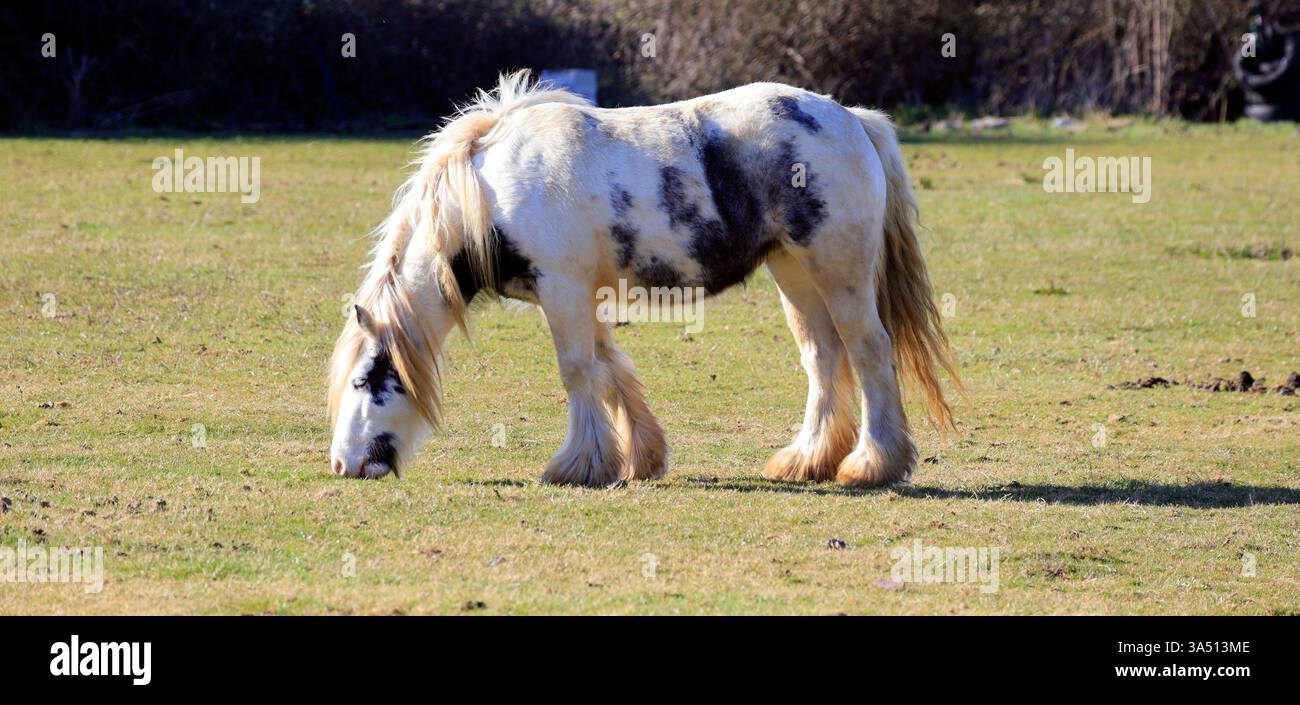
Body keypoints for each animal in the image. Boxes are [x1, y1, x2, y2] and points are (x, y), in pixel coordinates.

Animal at [328, 71, 960, 487]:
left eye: (364, 381)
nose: (341, 463)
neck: (489, 191)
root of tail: (852, 118)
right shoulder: (579, 296)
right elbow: (611, 370)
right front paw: (639, 458)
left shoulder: (562, 291)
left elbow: (578, 372)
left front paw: (577, 467)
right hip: (795, 274)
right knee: (823, 357)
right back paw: (807, 461)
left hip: (838, 272)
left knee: (869, 351)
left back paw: (871, 465)